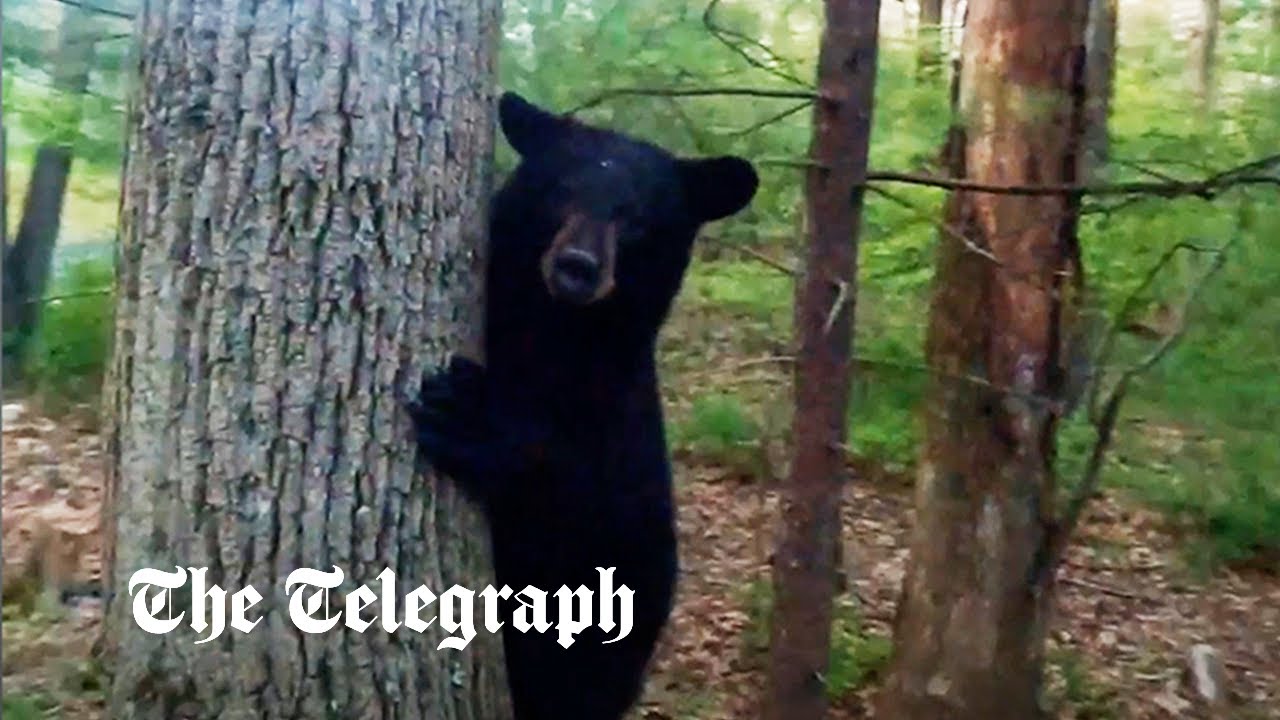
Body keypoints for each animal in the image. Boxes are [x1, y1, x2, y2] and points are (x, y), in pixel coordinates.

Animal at [404, 92, 759, 720]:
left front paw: (472, 418)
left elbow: (587, 510)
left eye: (637, 217)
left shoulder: (618, 421)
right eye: (560, 189)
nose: (577, 266)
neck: (556, 334)